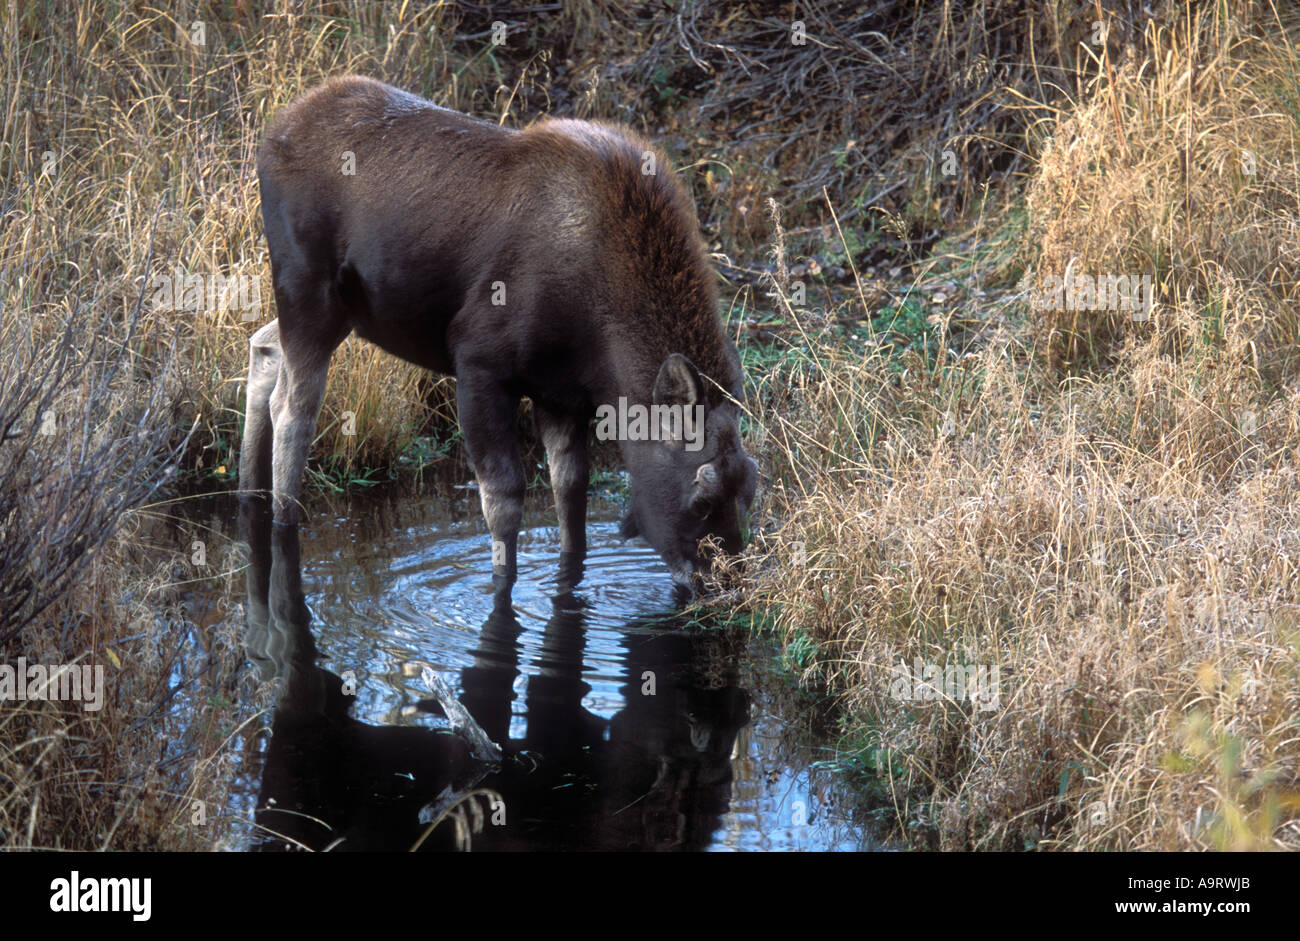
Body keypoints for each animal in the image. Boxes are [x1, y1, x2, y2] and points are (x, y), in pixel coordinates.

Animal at [240, 76, 757, 594]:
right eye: (701, 498)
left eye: (750, 489)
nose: (727, 583)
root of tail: (273, 133)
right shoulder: (479, 362)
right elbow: (504, 501)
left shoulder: (561, 394)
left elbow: (571, 495)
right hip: (307, 291)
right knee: (293, 409)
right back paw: (283, 522)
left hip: (336, 312)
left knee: (263, 345)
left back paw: (249, 495)